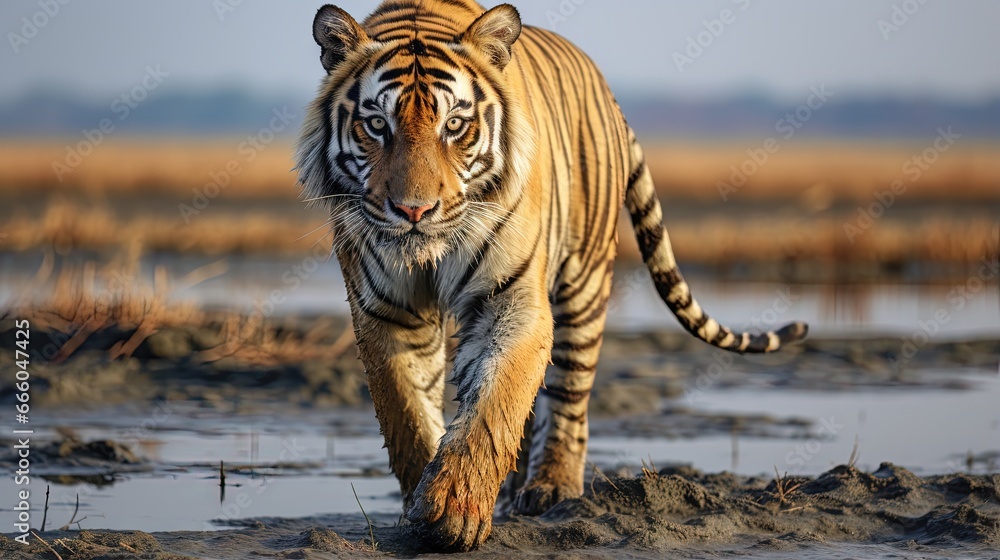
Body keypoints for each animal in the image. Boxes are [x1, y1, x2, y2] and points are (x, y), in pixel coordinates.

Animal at [295, 0, 808, 551]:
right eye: (376, 124)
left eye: (454, 125)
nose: (415, 210)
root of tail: (607, 93)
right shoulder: (387, 312)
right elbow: (408, 413)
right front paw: (421, 504)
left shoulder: (510, 297)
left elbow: (494, 404)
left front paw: (455, 509)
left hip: (583, 287)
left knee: (569, 398)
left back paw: (551, 487)